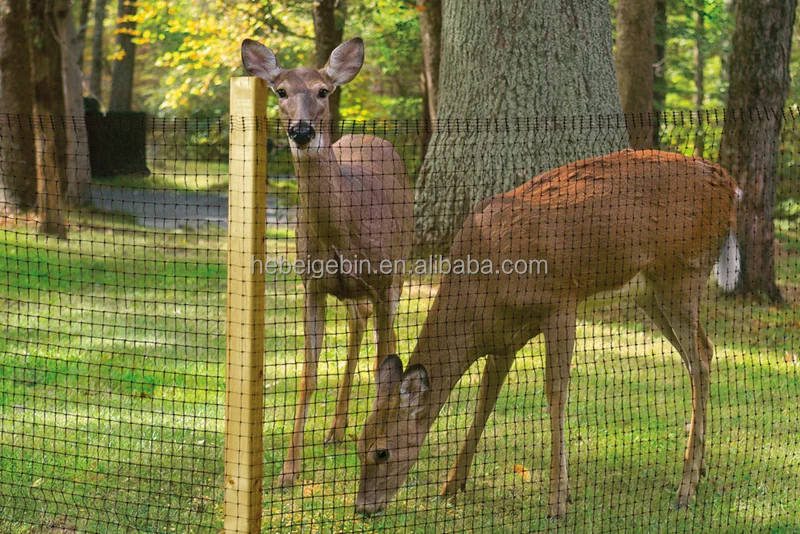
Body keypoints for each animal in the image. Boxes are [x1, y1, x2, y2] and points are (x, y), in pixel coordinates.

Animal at [241, 37, 413, 488]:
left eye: (323, 91)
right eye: (280, 91)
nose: (301, 131)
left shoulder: (383, 279)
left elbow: (384, 365)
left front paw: (377, 450)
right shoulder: (312, 284)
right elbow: (308, 372)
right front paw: (288, 470)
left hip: (401, 264)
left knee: (384, 334)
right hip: (351, 290)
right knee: (359, 320)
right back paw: (335, 429)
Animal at [355, 149, 739, 518]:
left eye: (382, 452)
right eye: (358, 444)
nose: (363, 507)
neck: (482, 292)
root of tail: (731, 185)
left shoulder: (559, 302)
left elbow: (556, 395)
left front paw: (558, 501)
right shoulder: (503, 338)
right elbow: (484, 401)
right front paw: (451, 486)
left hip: (682, 271)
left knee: (700, 356)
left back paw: (685, 490)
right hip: (650, 291)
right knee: (700, 352)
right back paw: (699, 471)